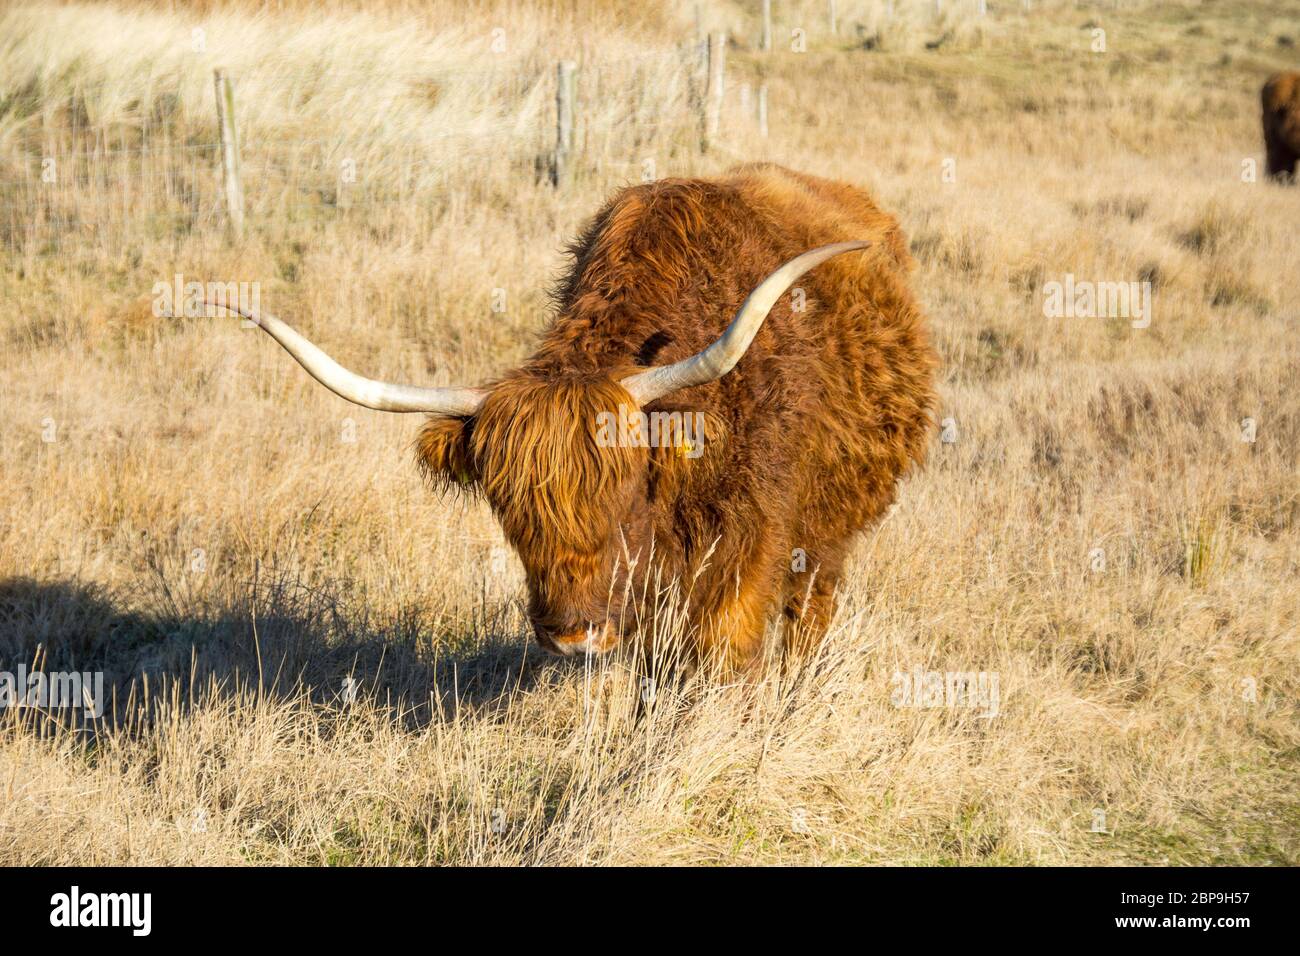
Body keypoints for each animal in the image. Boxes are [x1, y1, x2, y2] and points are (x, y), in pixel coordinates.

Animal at [207, 164, 937, 670]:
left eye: (624, 496)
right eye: (509, 513)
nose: (572, 636)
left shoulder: (748, 548)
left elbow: (726, 656)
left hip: (830, 536)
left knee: (809, 613)